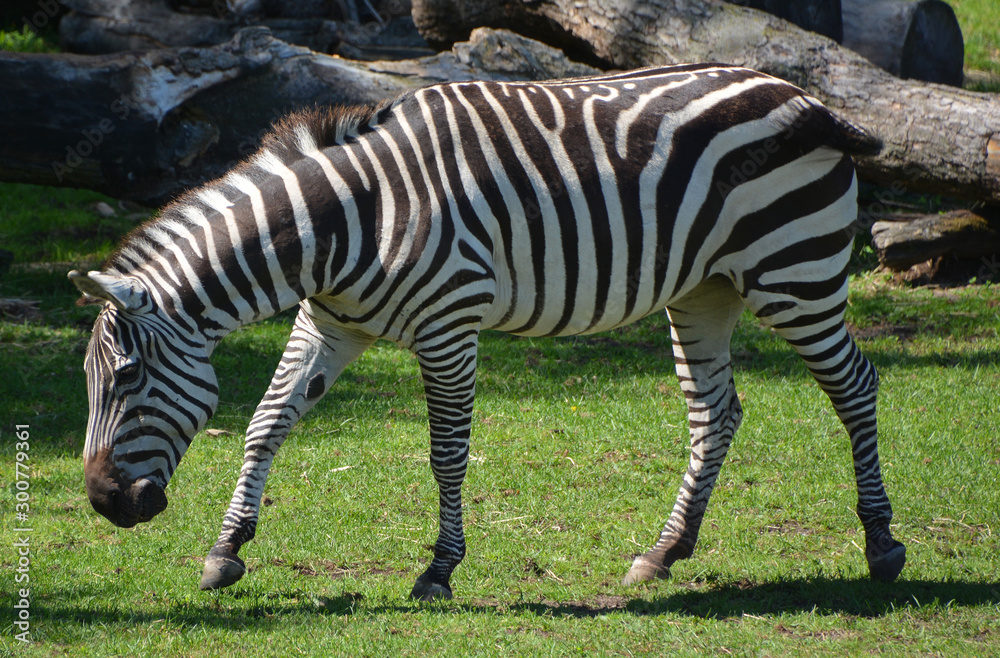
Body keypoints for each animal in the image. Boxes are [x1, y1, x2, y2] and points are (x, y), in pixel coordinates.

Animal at [70, 63, 906, 601]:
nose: (105, 504)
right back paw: (664, 553)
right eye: (92, 382)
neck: (348, 221)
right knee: (715, 413)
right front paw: (226, 550)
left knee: (856, 386)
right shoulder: (331, 322)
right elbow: (267, 422)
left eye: (127, 378)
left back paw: (882, 544)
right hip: (706, 288)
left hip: (795, 271)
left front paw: (439, 571)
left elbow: (446, 454)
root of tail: (800, 93)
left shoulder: (449, 326)